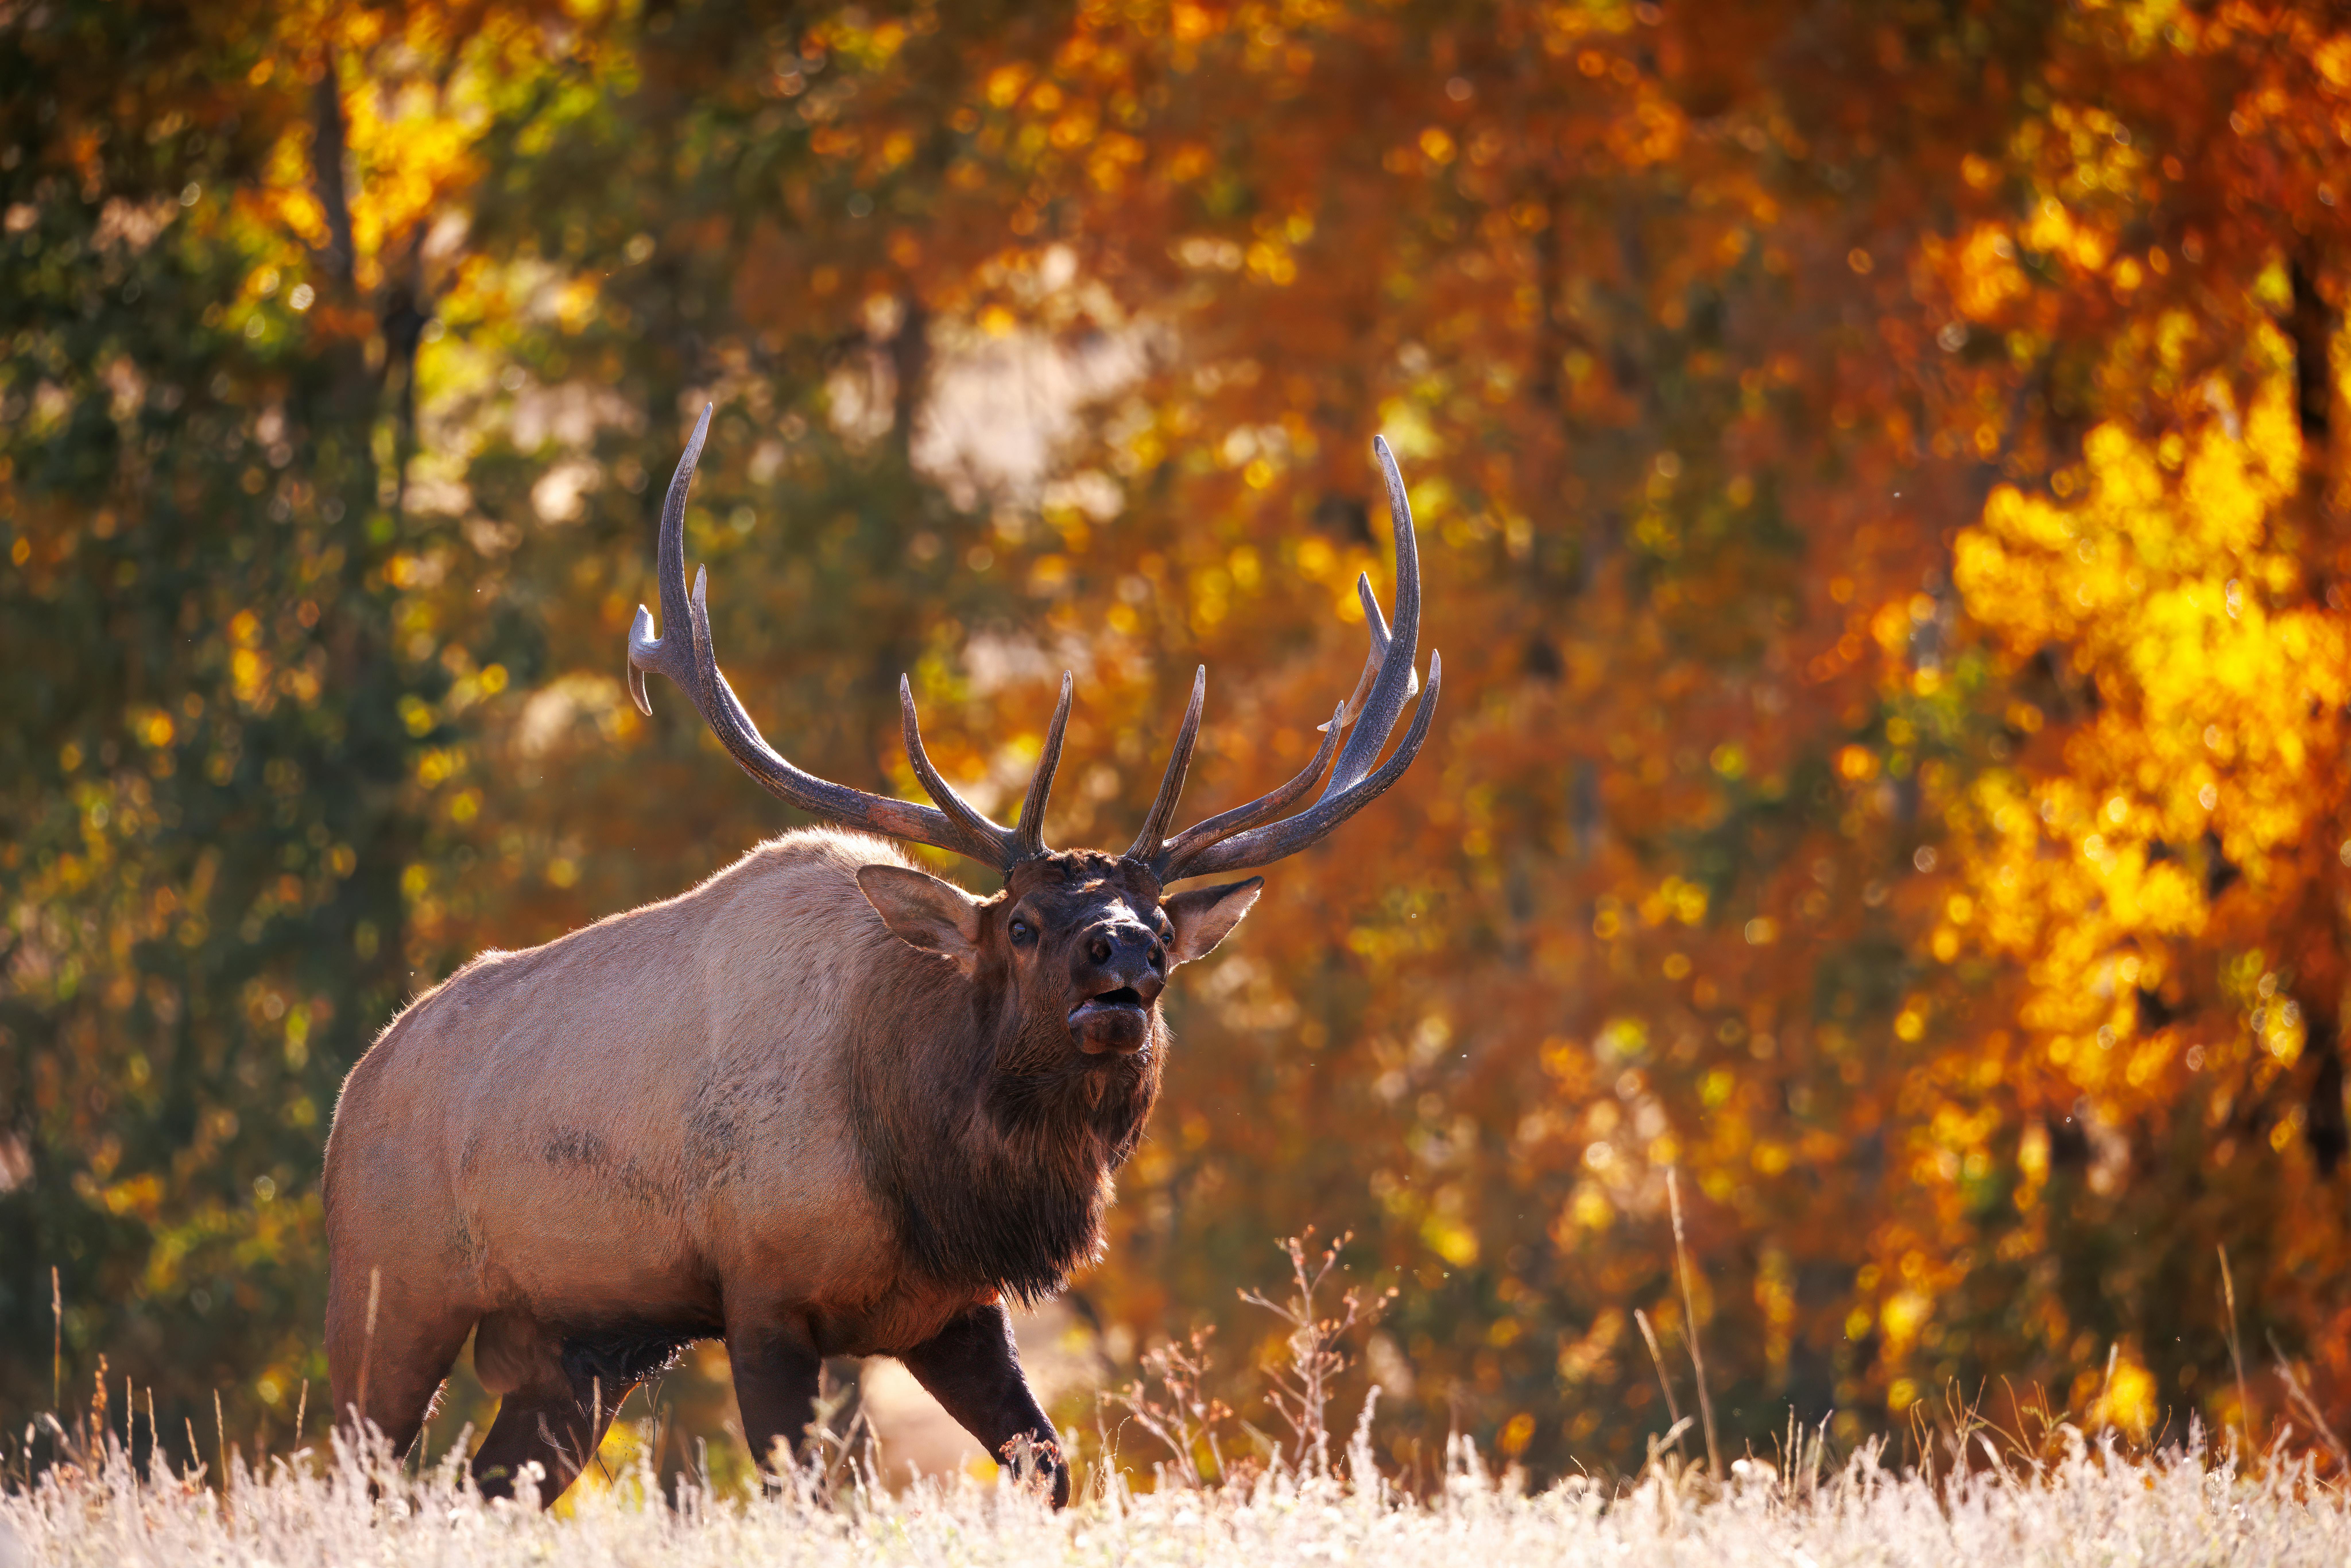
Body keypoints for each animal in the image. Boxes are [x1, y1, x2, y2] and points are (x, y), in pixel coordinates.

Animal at [320, 407, 1440, 1508]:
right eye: (1021, 925)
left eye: (1164, 931)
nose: (1122, 951)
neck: (924, 1164)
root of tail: (355, 1085)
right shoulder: (762, 1290)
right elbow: (798, 1489)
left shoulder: (951, 1311)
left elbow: (1052, 1467)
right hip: (388, 1294)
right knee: (356, 1470)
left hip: (575, 1348)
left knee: (479, 1486)